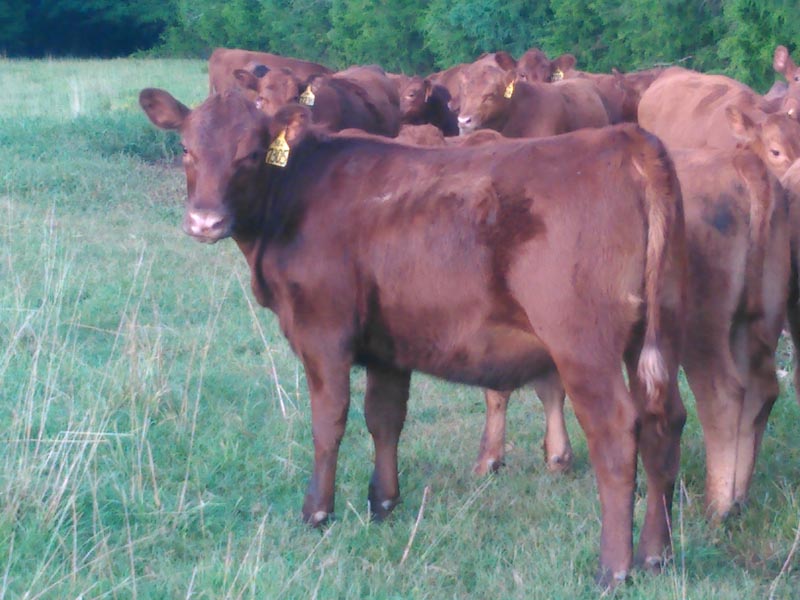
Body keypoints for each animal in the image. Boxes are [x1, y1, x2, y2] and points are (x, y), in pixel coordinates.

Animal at [140, 86, 687, 586]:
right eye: (186, 148)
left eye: (251, 153)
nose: (204, 220)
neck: (296, 192)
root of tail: (626, 139)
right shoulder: (389, 343)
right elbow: (385, 419)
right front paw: (383, 502)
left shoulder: (323, 332)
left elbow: (328, 421)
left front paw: (317, 511)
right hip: (654, 340)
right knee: (664, 422)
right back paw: (655, 555)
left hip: (582, 345)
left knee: (616, 433)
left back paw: (613, 567)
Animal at [474, 106, 792, 519]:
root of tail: (742, 165)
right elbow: (550, 384)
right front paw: (557, 457)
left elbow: (499, 388)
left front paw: (490, 459)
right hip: (759, 321)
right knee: (761, 392)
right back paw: (737, 497)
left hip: (701, 328)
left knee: (722, 396)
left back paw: (717, 506)